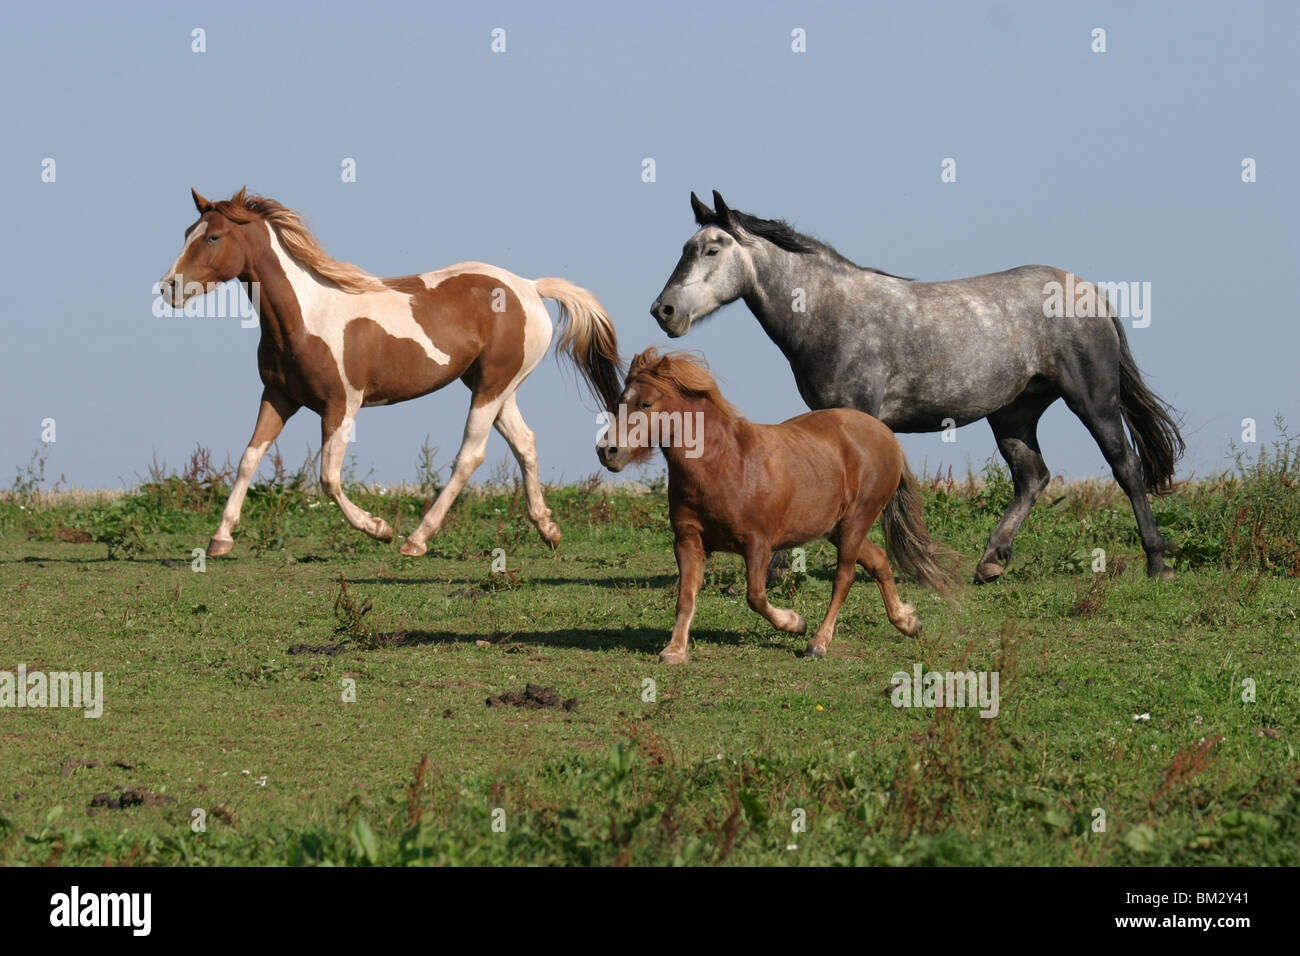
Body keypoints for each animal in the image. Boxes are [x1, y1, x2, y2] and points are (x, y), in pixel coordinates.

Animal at [158, 188, 624, 557]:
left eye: (213, 236)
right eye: (187, 232)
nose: (168, 288)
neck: (305, 318)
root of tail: (529, 286)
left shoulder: (340, 406)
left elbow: (328, 478)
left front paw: (378, 529)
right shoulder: (279, 397)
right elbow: (248, 459)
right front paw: (220, 539)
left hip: (492, 386)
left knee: (470, 455)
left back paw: (416, 539)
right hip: (495, 387)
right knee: (524, 443)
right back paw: (549, 531)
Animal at [597, 348, 953, 663]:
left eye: (646, 403)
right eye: (620, 401)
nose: (608, 451)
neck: (724, 465)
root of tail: (885, 434)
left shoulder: (758, 544)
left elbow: (755, 597)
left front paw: (795, 623)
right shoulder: (688, 540)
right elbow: (686, 596)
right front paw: (674, 651)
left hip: (857, 520)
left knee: (844, 577)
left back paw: (818, 643)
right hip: (836, 527)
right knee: (878, 559)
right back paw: (908, 622)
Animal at [649, 191, 1185, 583]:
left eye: (711, 249)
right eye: (684, 250)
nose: (664, 310)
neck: (830, 314)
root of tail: (1089, 292)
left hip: (1093, 401)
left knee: (1126, 467)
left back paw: (1157, 562)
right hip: (1014, 413)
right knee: (1033, 477)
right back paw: (990, 562)